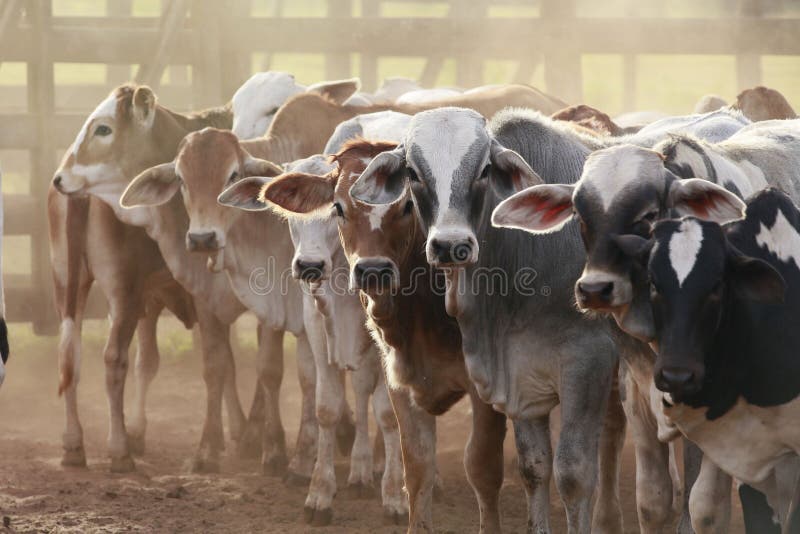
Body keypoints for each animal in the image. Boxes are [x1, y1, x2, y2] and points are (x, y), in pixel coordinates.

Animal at [224, 138, 510, 533]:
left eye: (406, 206)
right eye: (337, 206)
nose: (309, 266)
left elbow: (386, 416)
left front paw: (393, 497)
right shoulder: (317, 326)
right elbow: (327, 407)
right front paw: (319, 494)